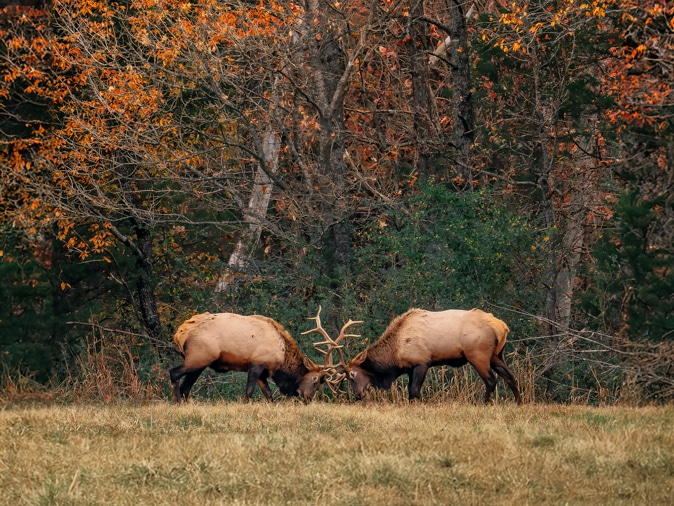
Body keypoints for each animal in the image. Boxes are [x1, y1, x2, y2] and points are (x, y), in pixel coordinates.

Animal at [168, 312, 331, 403]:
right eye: (315, 379)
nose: (308, 399)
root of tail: (179, 333)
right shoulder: (256, 365)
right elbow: (249, 392)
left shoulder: (263, 373)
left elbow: (269, 395)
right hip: (199, 357)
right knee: (173, 373)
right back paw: (177, 403)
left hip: (200, 363)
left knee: (186, 387)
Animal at [319, 308, 521, 404]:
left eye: (352, 375)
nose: (357, 395)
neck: (395, 354)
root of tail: (502, 327)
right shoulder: (410, 367)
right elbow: (410, 392)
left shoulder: (422, 362)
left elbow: (415, 390)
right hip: (497, 355)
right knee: (510, 376)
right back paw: (519, 403)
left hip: (478, 354)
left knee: (491, 380)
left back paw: (483, 404)